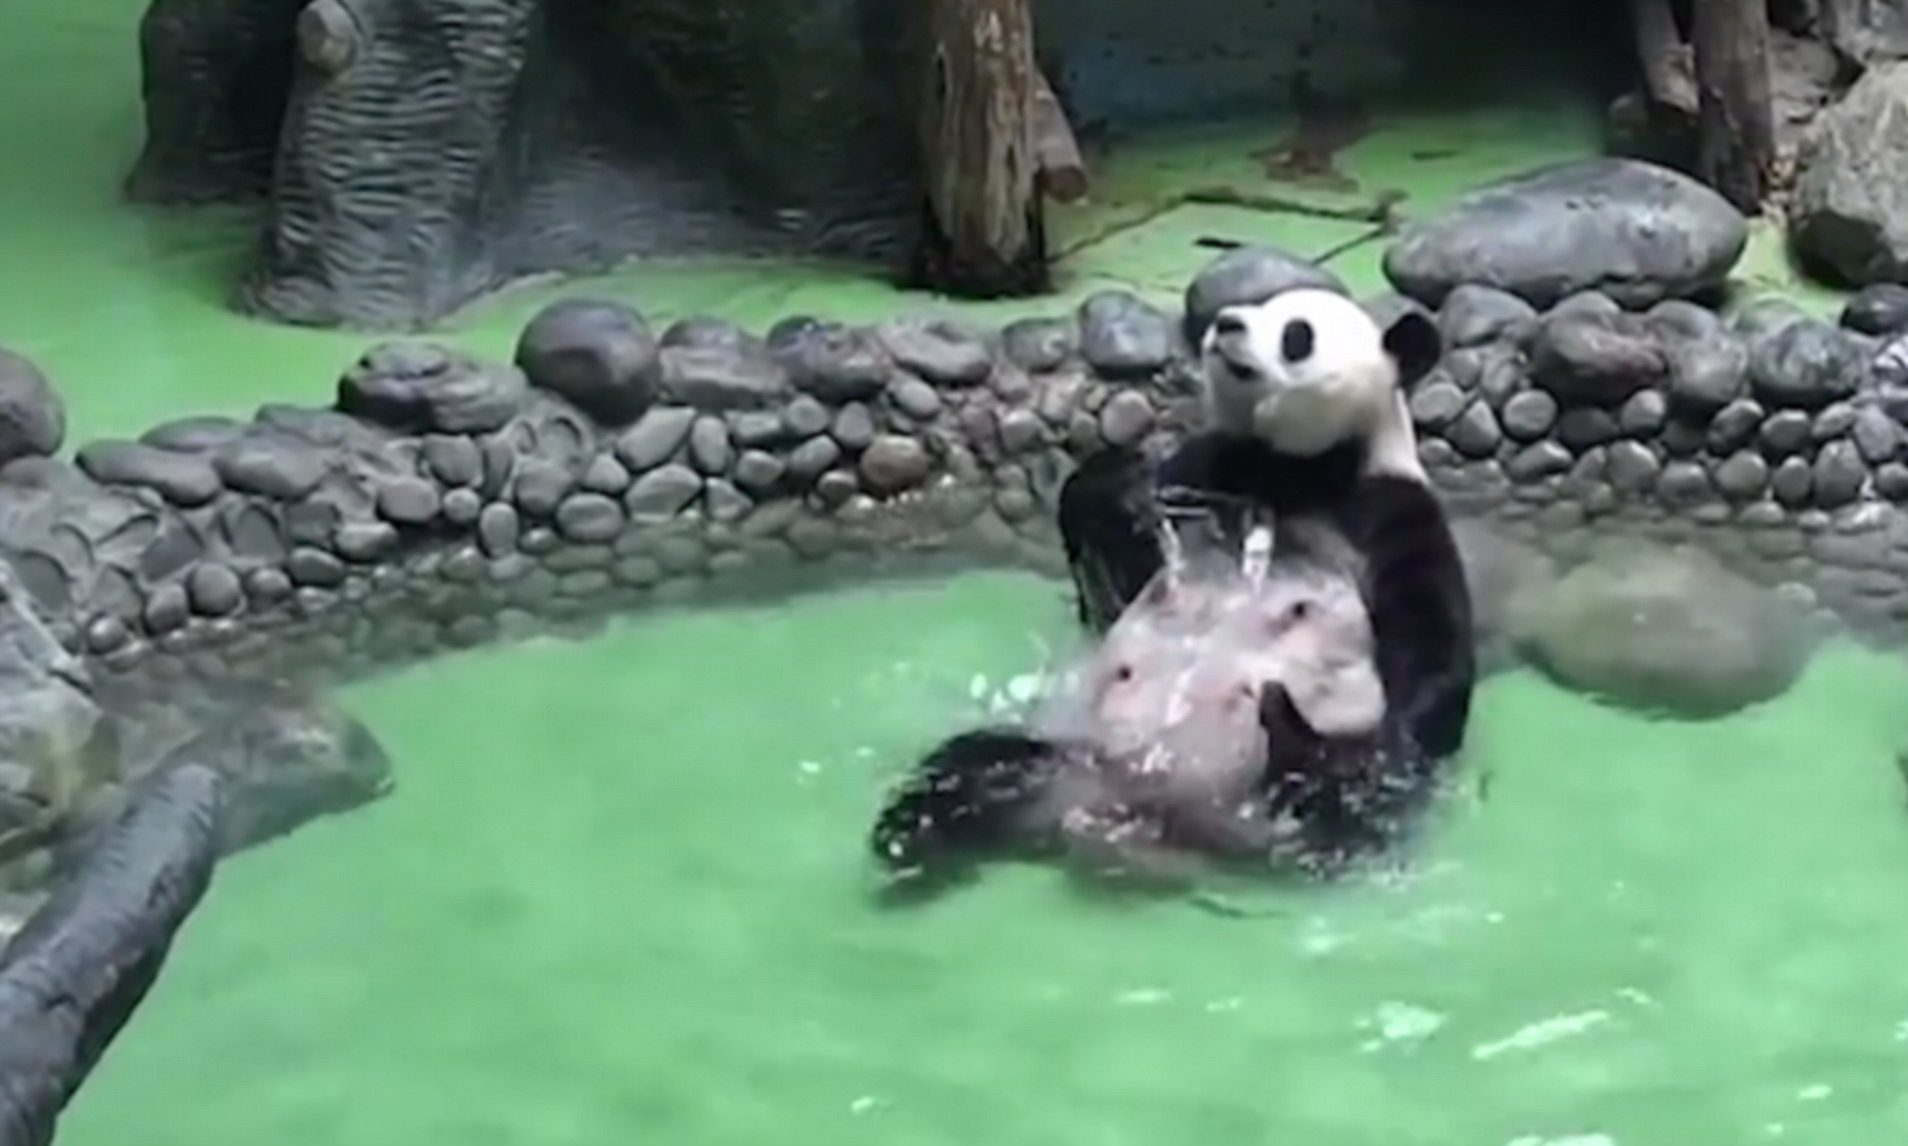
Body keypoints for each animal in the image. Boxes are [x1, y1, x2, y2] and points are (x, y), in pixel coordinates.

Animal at [867, 287, 1474, 898]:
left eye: (1297, 334)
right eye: (1251, 305)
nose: (1227, 325)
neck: (1291, 469)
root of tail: (1135, 818)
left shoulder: (1388, 513)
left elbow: (1430, 661)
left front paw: (1301, 723)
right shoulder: (1203, 475)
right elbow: (1109, 571)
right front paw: (1122, 488)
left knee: (1341, 813)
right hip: (1072, 756)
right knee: (976, 764)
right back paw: (913, 838)